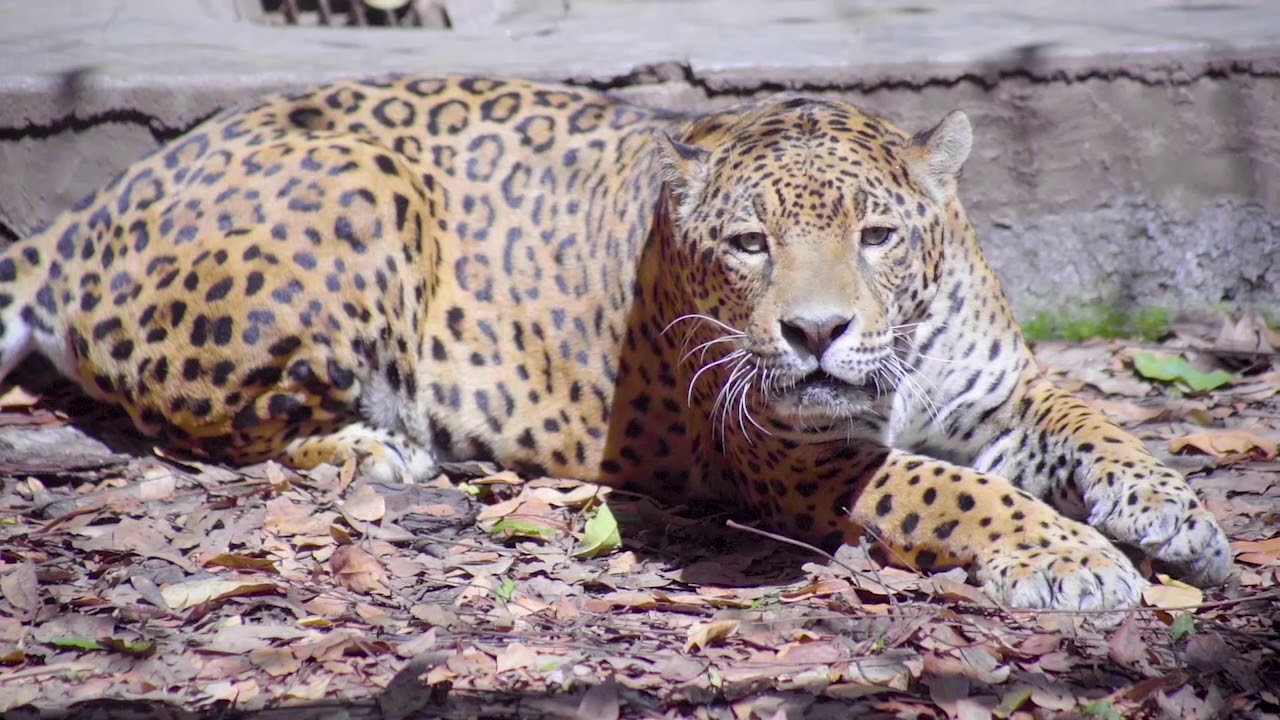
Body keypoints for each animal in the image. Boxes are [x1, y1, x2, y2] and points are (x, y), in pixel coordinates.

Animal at [0, 75, 1231, 611]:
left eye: (877, 236)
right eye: (747, 244)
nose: (816, 332)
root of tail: (90, 207)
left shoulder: (1000, 390)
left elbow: (1090, 415)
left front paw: (1177, 516)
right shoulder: (802, 459)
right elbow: (956, 489)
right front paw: (1072, 559)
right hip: (354, 197)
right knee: (206, 425)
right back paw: (372, 449)